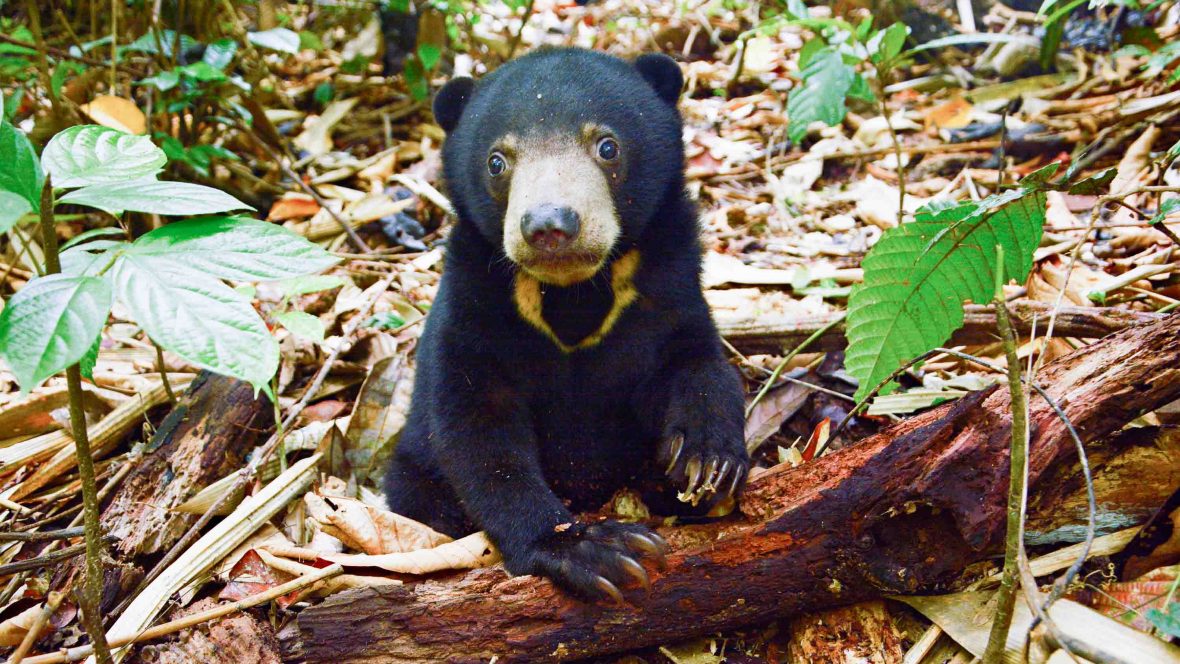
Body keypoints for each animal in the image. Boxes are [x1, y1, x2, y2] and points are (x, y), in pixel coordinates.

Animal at [384, 47, 748, 602]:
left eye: (607, 146)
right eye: (497, 160)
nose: (550, 225)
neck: (572, 293)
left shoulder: (668, 286)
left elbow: (694, 360)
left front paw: (705, 459)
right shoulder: (474, 311)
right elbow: (476, 431)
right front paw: (592, 550)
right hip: (411, 469)